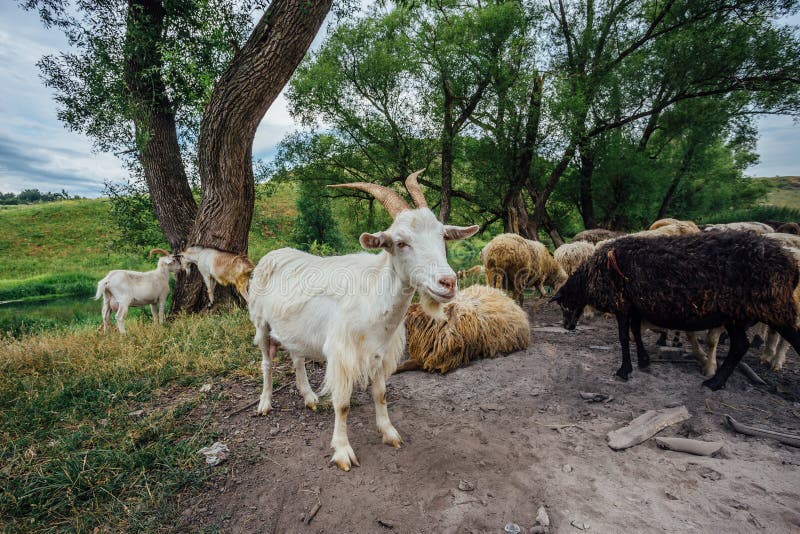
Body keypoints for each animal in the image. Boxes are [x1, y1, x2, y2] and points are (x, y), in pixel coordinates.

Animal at [248, 170, 479, 471]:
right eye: (401, 243)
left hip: (295, 330)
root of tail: (272, 254)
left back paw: (309, 397)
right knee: (266, 363)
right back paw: (264, 404)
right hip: (261, 322)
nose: (448, 283)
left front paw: (389, 433)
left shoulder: (379, 350)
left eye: (443, 237)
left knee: (297, 357)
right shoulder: (342, 353)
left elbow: (380, 393)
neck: (373, 295)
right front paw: (342, 452)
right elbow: (343, 403)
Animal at [551, 231, 800, 390]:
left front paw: (624, 370)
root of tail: (789, 262)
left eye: (563, 305)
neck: (590, 277)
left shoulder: (621, 304)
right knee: (740, 345)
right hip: (736, 314)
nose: (567, 326)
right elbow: (636, 333)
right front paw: (644, 361)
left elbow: (623, 337)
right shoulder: (634, 305)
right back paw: (715, 383)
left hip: (773, 307)